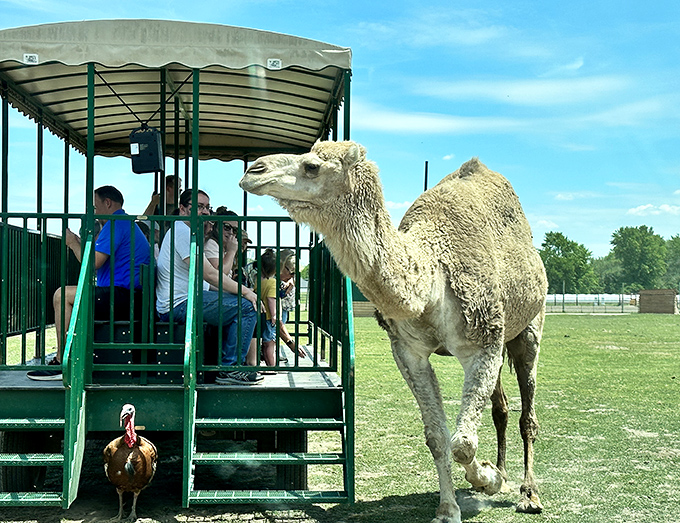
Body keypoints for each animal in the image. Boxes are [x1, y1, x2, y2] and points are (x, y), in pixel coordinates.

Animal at [239, 141, 548, 523]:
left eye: (312, 166)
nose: (253, 171)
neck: (431, 279)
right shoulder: (408, 350)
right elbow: (438, 438)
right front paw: (450, 507)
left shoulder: (482, 343)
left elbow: (462, 443)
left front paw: (487, 479)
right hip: (503, 336)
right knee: (501, 408)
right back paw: (504, 474)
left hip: (529, 327)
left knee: (527, 413)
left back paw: (528, 494)